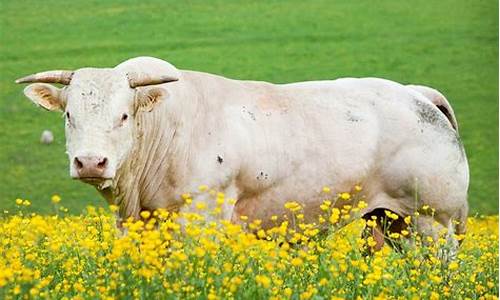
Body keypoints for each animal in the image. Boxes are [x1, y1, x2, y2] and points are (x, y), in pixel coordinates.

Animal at [16, 55, 468, 248]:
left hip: (434, 222)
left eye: (124, 115)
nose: (91, 162)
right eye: (69, 114)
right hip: (389, 221)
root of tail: (415, 93)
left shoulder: (201, 222)